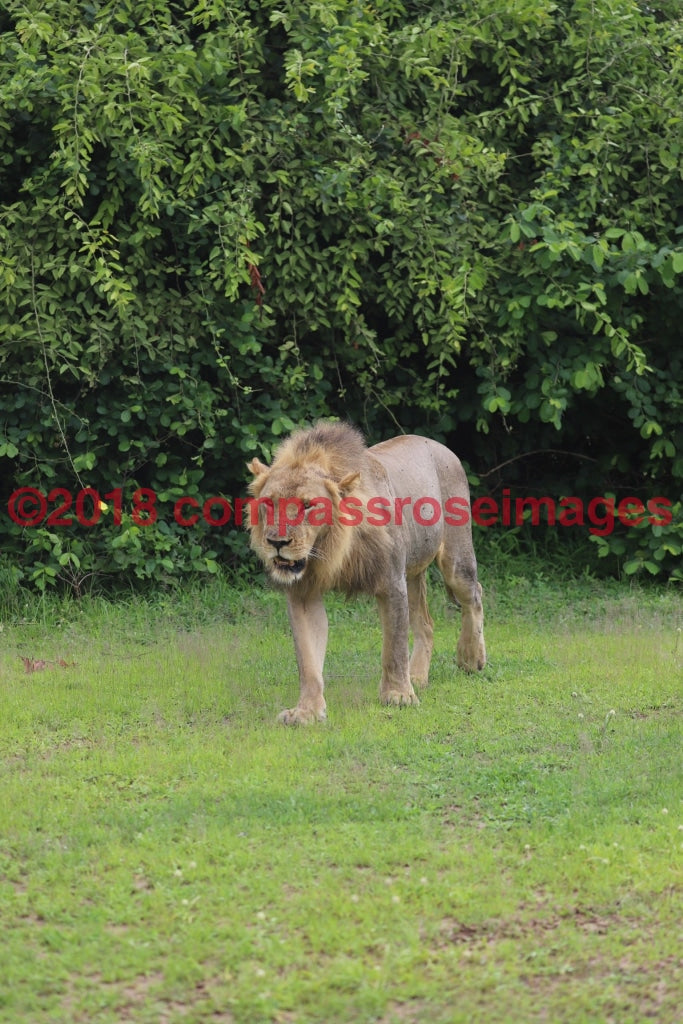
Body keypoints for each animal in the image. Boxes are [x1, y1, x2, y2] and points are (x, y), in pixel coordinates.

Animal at [247, 421, 486, 724]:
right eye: (269, 503)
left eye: (308, 505)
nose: (276, 542)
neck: (333, 547)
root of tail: (442, 447)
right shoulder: (303, 593)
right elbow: (308, 659)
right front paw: (306, 711)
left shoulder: (391, 582)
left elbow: (394, 646)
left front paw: (398, 696)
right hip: (413, 572)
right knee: (426, 623)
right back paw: (417, 676)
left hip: (455, 560)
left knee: (474, 594)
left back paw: (470, 657)